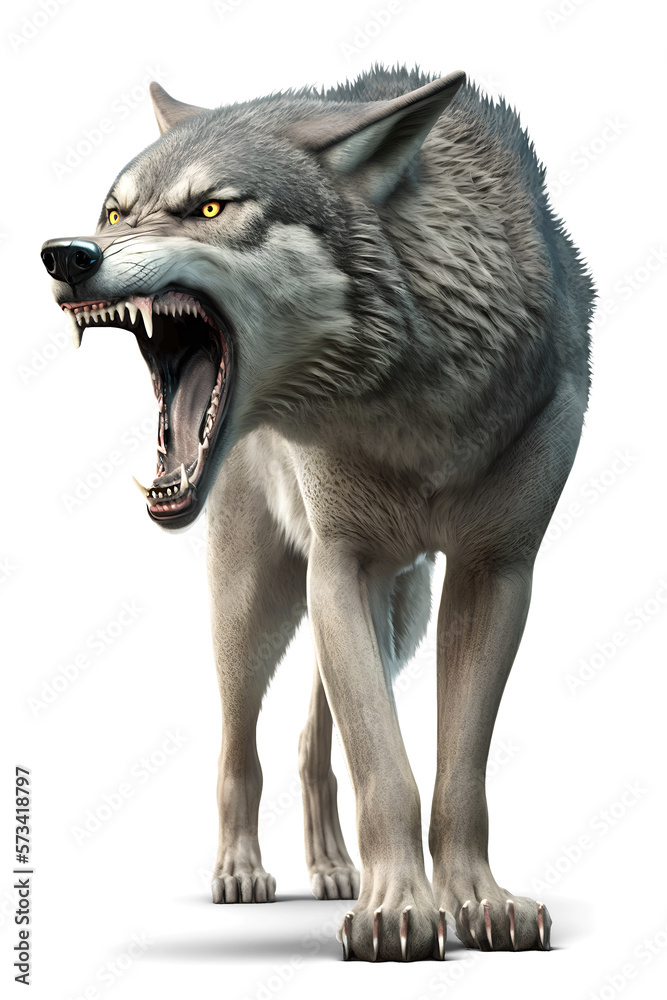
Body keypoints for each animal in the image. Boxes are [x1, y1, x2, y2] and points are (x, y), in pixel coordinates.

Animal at [41, 64, 594, 961]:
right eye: (115, 213)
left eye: (210, 209)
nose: (64, 254)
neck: (414, 408)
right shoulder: (340, 562)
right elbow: (385, 770)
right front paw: (397, 910)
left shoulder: (495, 571)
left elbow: (454, 771)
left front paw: (475, 900)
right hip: (257, 605)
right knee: (239, 741)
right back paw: (243, 872)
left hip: (401, 610)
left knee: (312, 738)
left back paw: (336, 869)